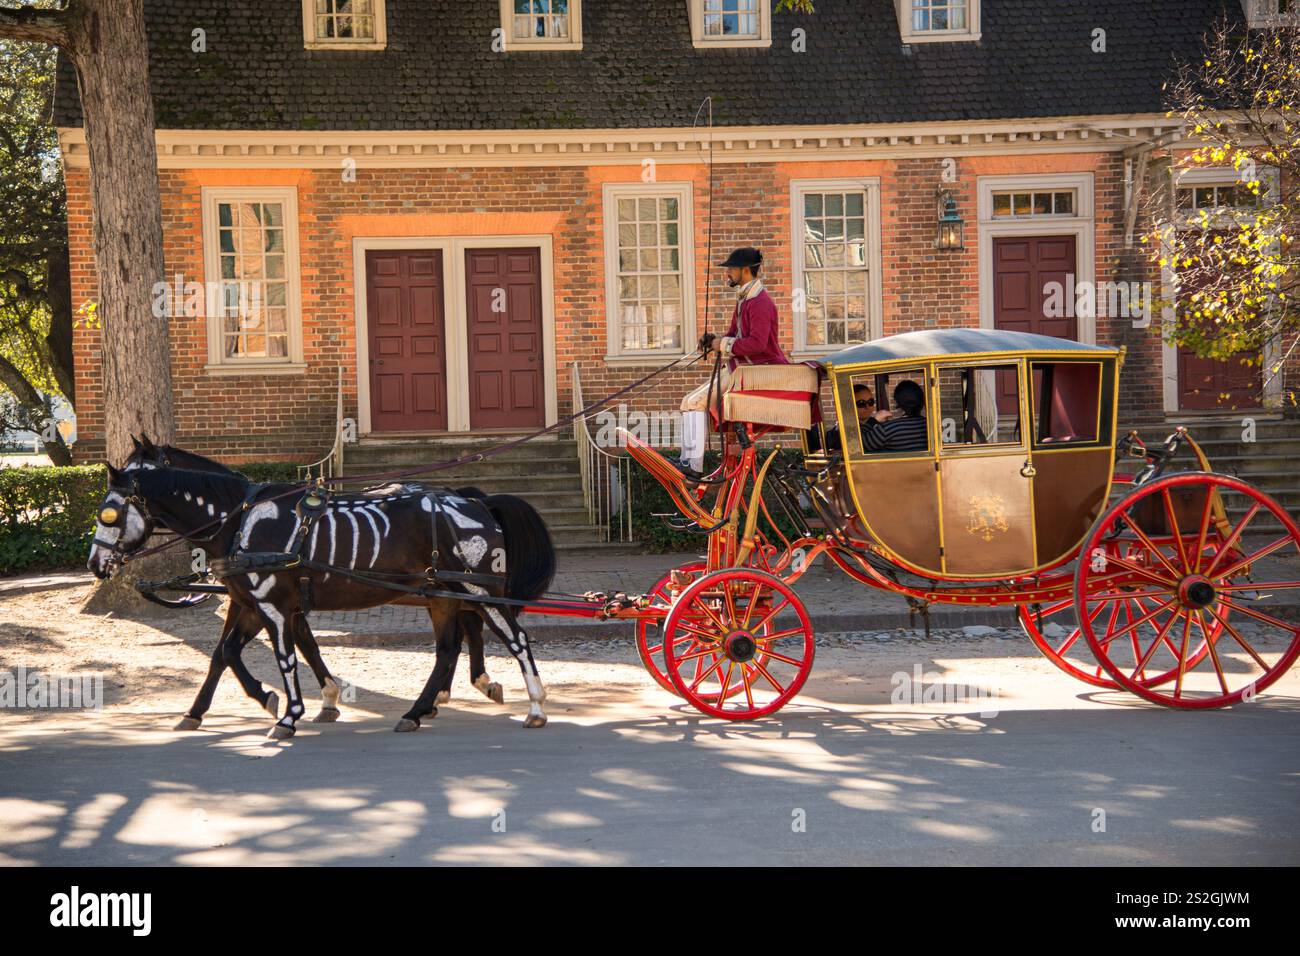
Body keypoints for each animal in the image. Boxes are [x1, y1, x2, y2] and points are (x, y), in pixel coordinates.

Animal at [89, 460, 556, 738]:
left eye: (109, 513)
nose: (95, 562)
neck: (241, 521)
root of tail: (476, 501)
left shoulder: (274, 605)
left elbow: (286, 657)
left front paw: (289, 713)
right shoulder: (251, 604)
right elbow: (226, 654)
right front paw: (209, 708)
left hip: (481, 590)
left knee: (516, 640)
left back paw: (535, 703)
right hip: (442, 595)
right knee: (447, 649)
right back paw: (418, 710)